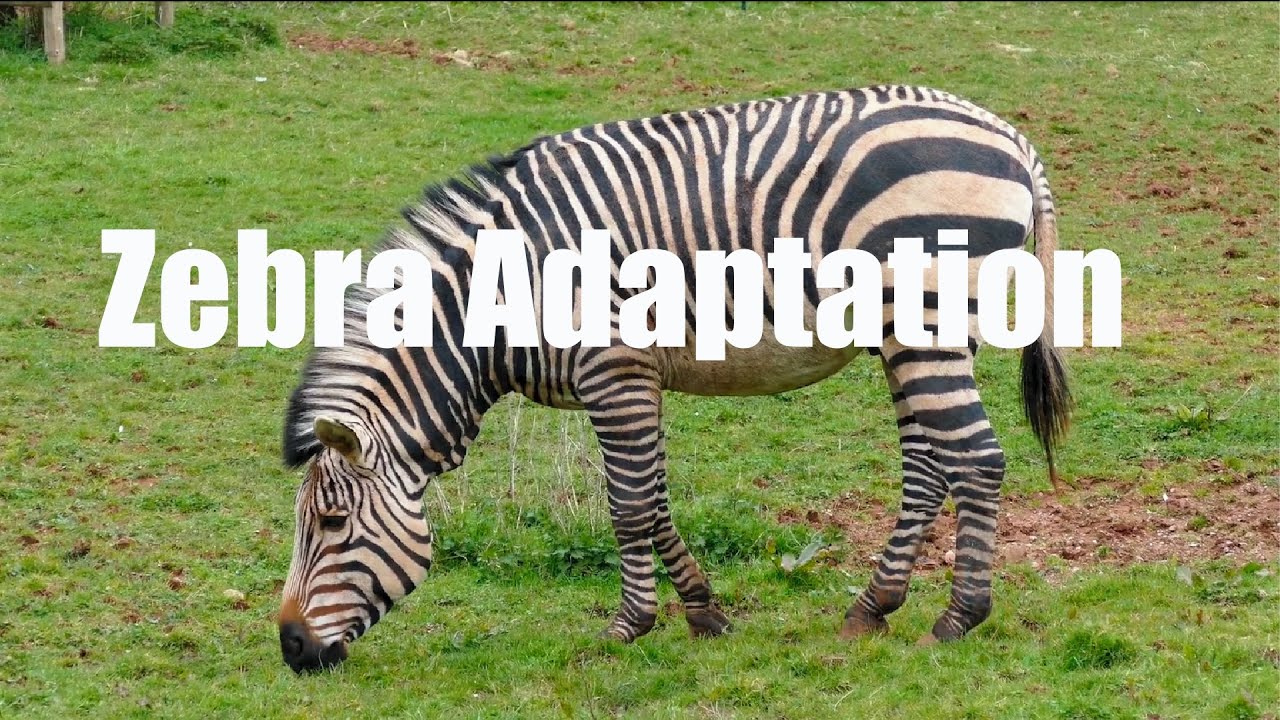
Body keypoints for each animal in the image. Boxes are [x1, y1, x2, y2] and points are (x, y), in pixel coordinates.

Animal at [276, 85, 1072, 673]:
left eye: (332, 524)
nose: (291, 649)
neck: (504, 291)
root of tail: (1013, 139)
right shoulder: (633, 382)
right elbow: (655, 500)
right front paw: (703, 612)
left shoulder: (614, 372)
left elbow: (629, 507)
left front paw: (628, 626)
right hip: (914, 336)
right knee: (929, 468)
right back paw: (873, 606)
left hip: (927, 325)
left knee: (978, 459)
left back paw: (957, 618)